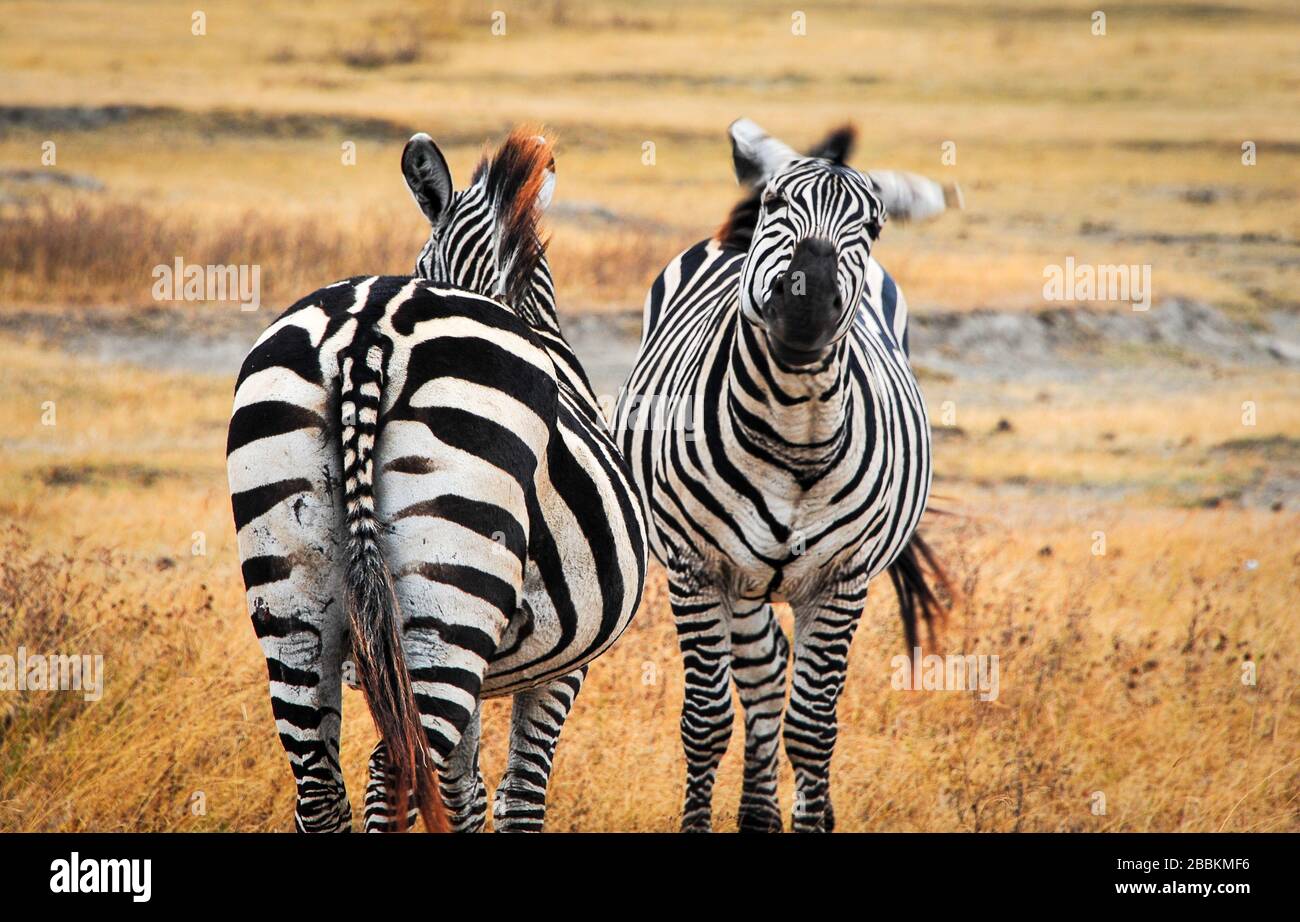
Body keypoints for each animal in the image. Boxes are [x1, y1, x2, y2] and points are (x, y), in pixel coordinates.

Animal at [226, 127, 647, 833]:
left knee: (322, 789)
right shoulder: (564, 669)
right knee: (394, 767)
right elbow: (516, 796)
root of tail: (368, 331)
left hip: (291, 590)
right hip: (450, 600)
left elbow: (465, 791)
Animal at [613, 119, 950, 832]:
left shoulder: (843, 579)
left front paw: (812, 817)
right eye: (776, 204)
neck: (795, 439)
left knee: (778, 681)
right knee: (764, 675)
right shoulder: (697, 567)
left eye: (873, 227)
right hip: (742, 581)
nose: (807, 309)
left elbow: (814, 730)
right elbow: (707, 721)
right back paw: (757, 813)